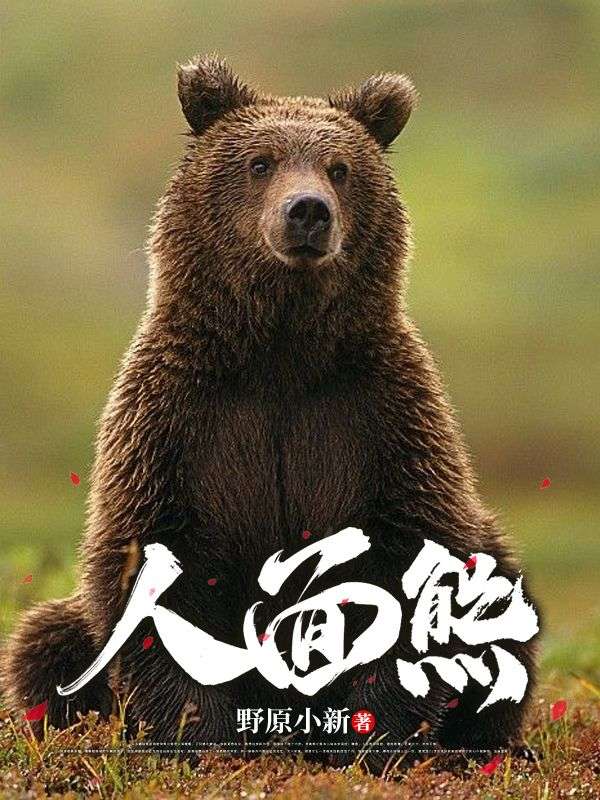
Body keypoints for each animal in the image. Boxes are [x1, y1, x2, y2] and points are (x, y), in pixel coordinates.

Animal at [1, 55, 538, 770]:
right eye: (261, 162)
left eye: (339, 168)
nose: (308, 212)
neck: (280, 352)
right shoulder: (179, 422)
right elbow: (156, 573)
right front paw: (199, 738)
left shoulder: (380, 414)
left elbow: (411, 558)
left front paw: (373, 740)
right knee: (47, 640)